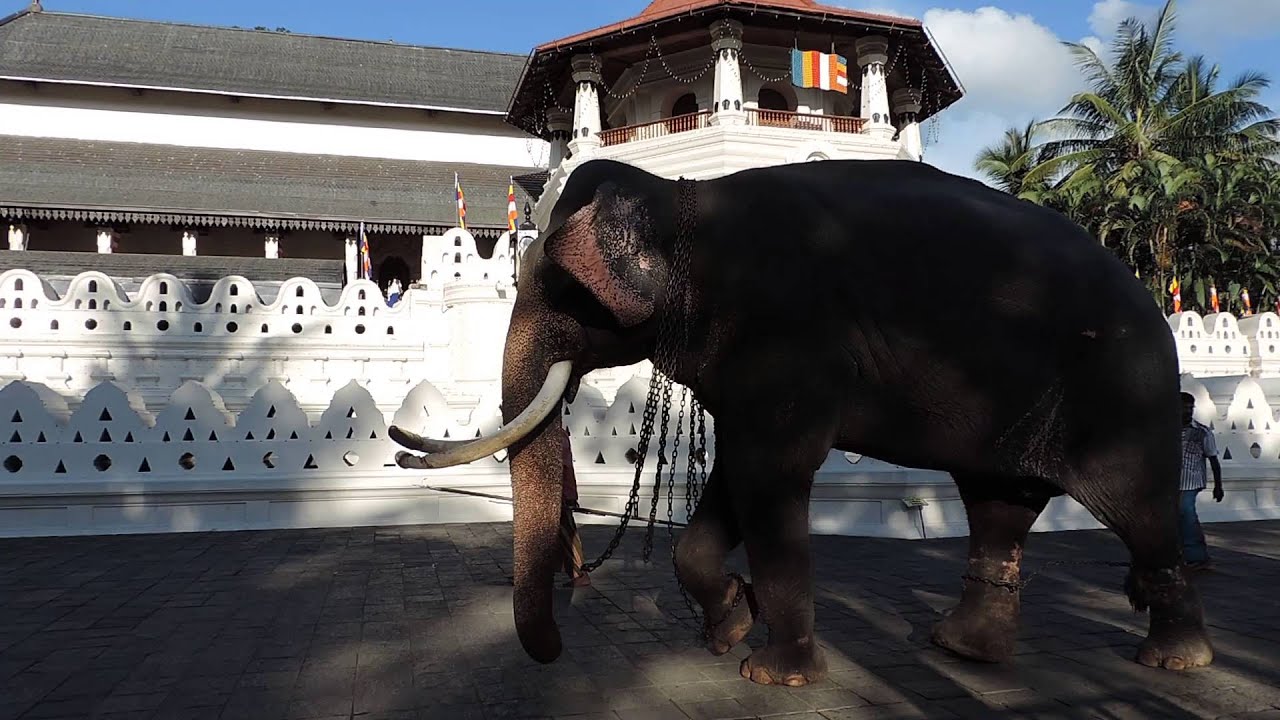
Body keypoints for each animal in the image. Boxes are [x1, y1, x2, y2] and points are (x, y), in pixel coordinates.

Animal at [389, 157, 1214, 686]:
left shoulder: (787, 334)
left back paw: (1175, 659)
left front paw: (773, 675)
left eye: (561, 290)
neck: (684, 201)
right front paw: (729, 624)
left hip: (1125, 397)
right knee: (998, 506)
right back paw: (964, 650)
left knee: (1136, 510)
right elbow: (735, 476)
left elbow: (770, 473)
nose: (558, 646)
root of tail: (1147, 293)